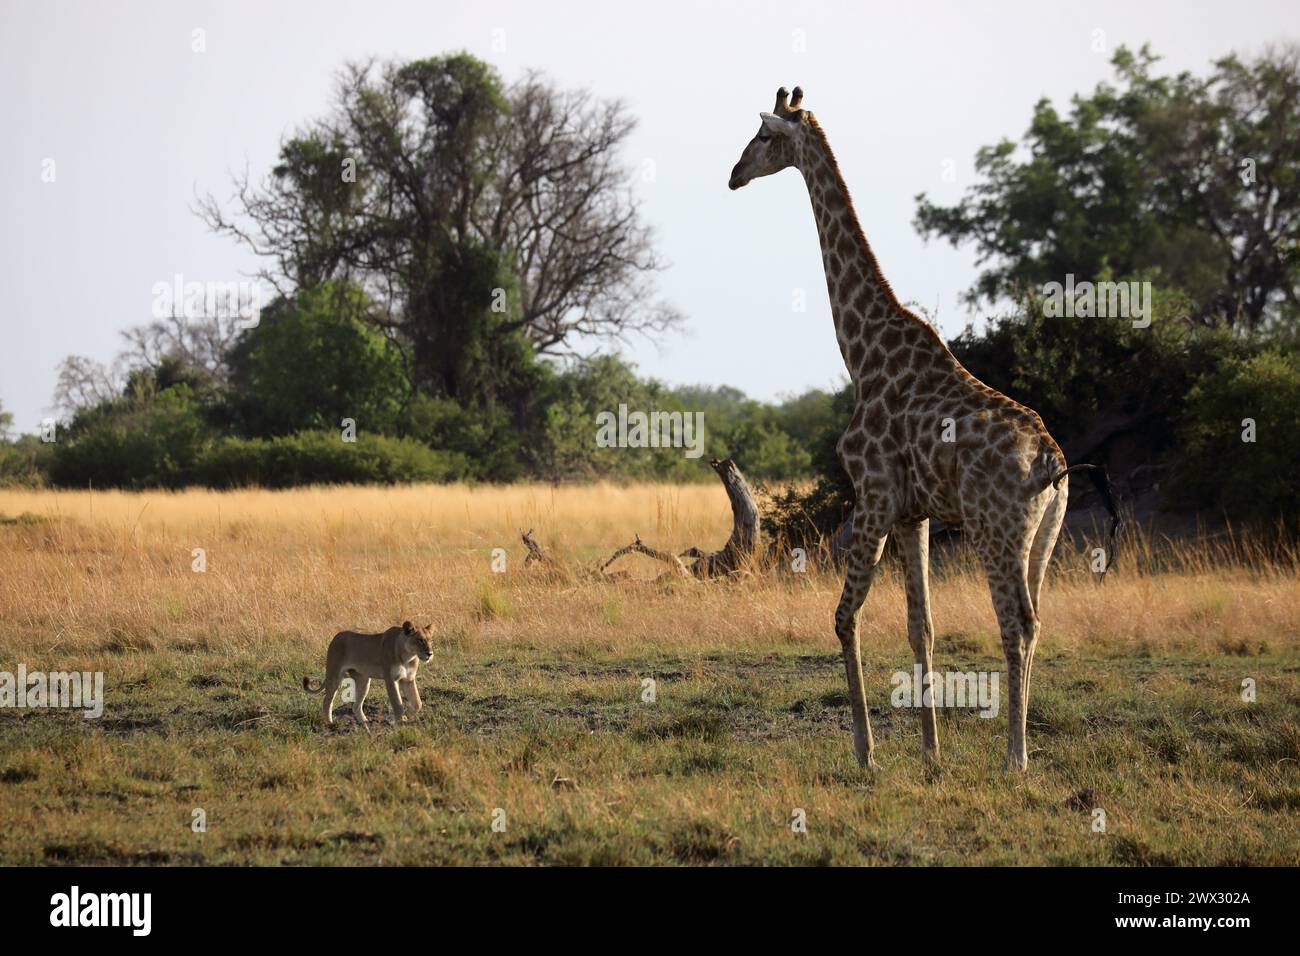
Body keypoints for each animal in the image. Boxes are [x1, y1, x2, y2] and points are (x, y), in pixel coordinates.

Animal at [302, 621, 434, 728]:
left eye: (430, 640)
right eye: (420, 640)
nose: (430, 653)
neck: (408, 656)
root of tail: (335, 637)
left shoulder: (408, 679)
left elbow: (418, 703)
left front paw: (409, 716)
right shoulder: (390, 679)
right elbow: (397, 703)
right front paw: (401, 720)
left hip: (363, 680)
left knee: (355, 706)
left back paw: (365, 723)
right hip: (334, 675)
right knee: (327, 701)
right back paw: (330, 724)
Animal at [728, 87, 1118, 771]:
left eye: (764, 137)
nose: (732, 175)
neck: (862, 355)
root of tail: (1051, 461)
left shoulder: (873, 496)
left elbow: (844, 618)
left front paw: (867, 754)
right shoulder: (916, 514)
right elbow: (922, 627)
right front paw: (932, 755)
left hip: (995, 529)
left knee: (1015, 622)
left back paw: (1015, 757)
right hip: (1046, 532)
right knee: (1037, 620)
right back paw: (1017, 747)